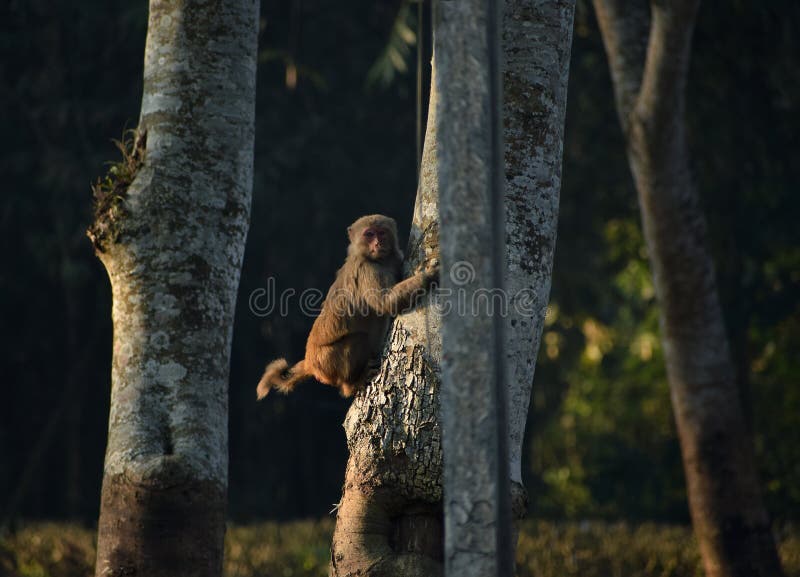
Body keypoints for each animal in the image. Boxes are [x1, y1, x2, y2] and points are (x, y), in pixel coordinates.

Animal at [256, 214, 438, 399]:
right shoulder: (368, 270)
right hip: (327, 362)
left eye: (382, 233)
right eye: (369, 234)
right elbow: (386, 303)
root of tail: (309, 362)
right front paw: (428, 276)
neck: (379, 260)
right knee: (359, 339)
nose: (378, 243)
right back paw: (350, 385)